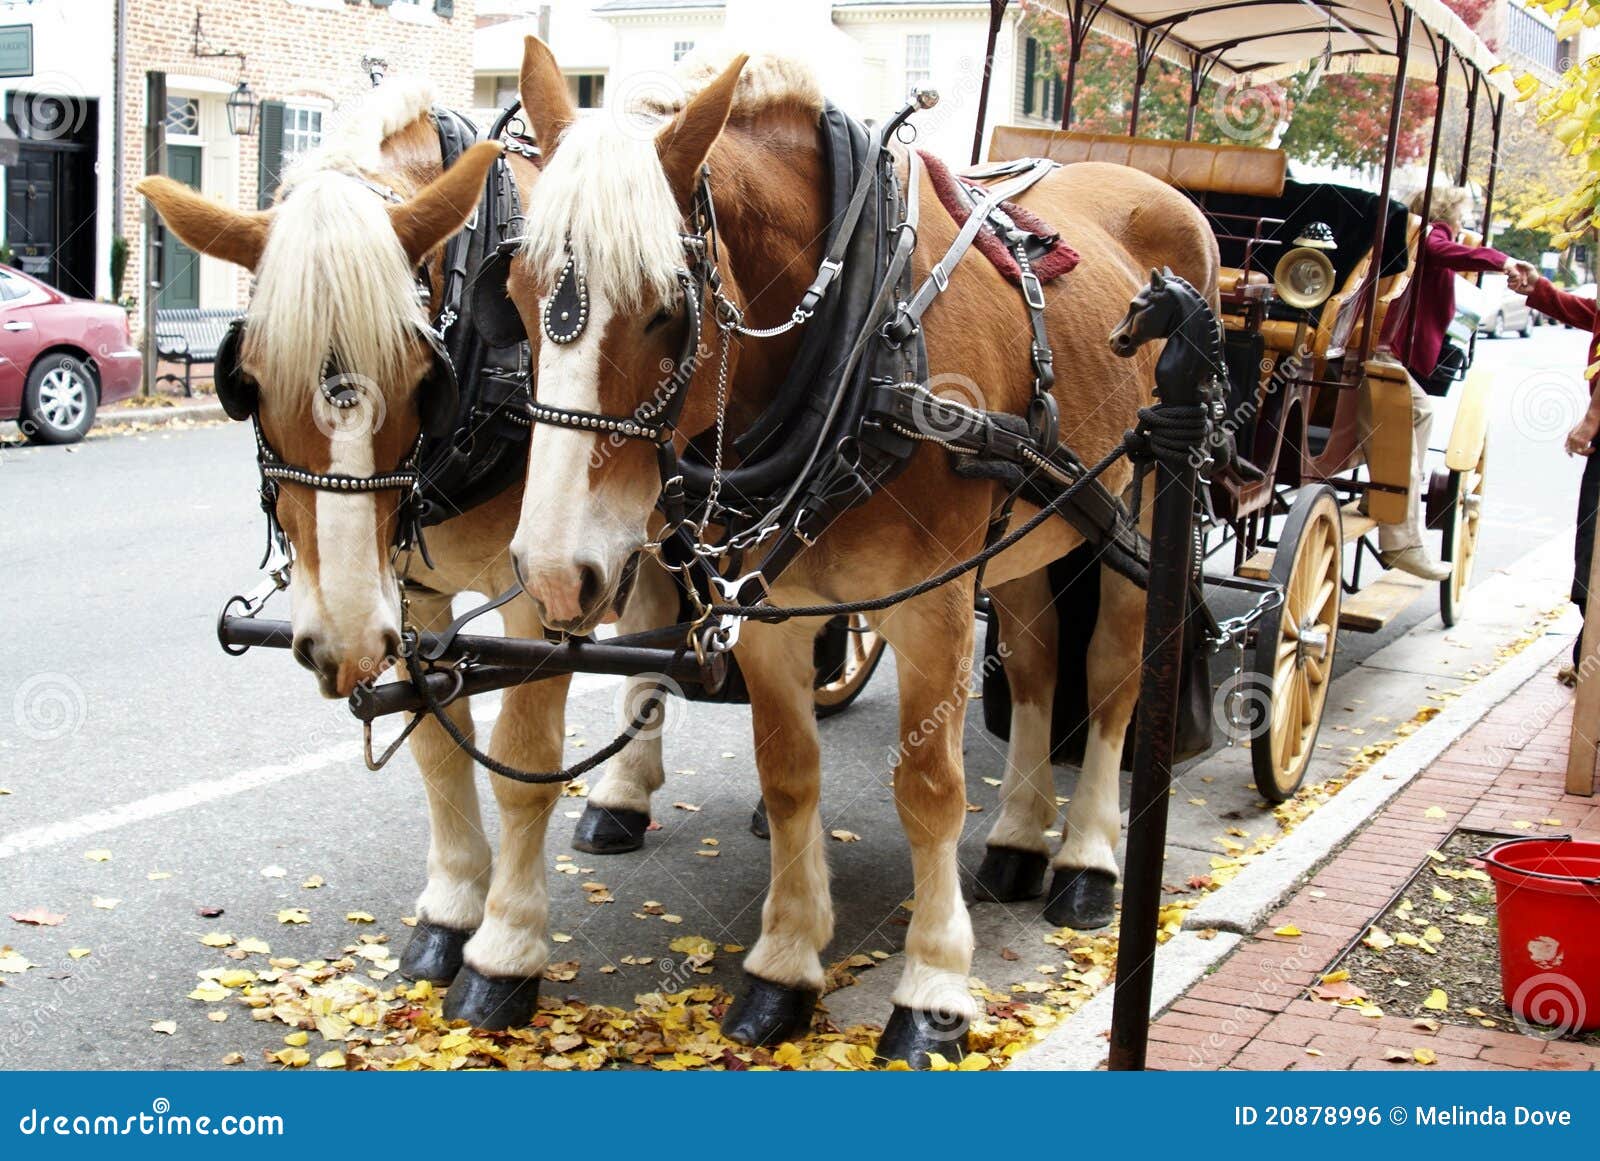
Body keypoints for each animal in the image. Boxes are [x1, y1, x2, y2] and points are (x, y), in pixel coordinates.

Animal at [138, 80, 678, 1031]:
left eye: (426, 380)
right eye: (247, 384)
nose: (347, 640)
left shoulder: (539, 589)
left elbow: (525, 763)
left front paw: (506, 949)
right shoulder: (416, 594)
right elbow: (436, 745)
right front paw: (451, 911)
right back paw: (623, 795)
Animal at [499, 39, 1220, 1064]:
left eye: (669, 307)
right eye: (516, 293)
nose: (558, 572)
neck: (859, 337)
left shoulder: (932, 605)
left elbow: (929, 787)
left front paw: (932, 991)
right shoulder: (771, 608)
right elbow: (790, 775)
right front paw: (783, 967)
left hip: (1144, 499)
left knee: (1115, 672)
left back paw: (1085, 861)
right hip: (1034, 527)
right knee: (1038, 664)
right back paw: (1018, 840)